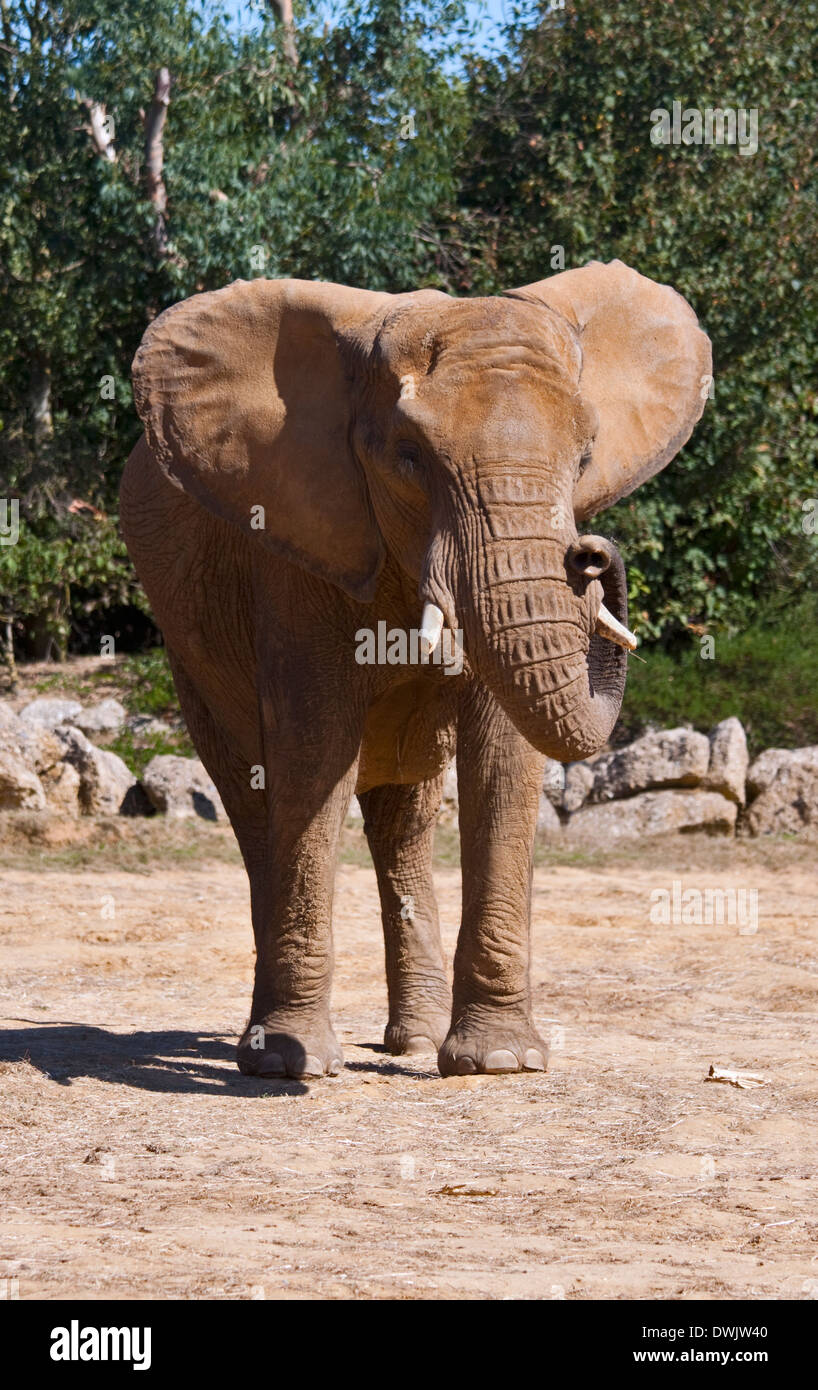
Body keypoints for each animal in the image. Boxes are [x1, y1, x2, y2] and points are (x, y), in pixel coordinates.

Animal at [120, 259, 710, 1080]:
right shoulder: (294, 545)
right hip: (190, 654)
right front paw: (294, 1064)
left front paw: (500, 1062)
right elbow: (314, 752)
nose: (589, 557)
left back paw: (417, 1042)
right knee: (253, 799)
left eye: (587, 454)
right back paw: (266, 1049)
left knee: (405, 815)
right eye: (407, 457)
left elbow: (504, 755)